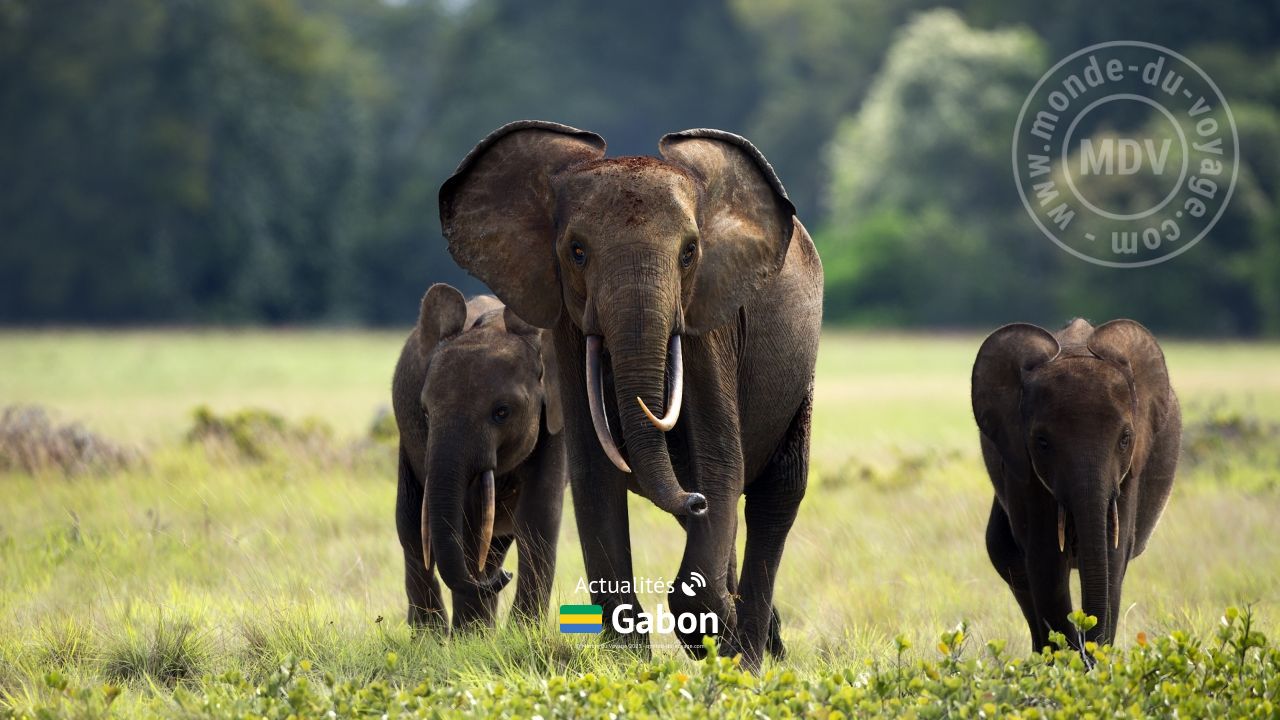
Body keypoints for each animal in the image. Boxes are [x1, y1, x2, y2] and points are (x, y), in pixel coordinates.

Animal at [389, 280, 565, 627]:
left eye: (502, 412)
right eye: (426, 413)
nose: (504, 577)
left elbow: (538, 514)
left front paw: (523, 631)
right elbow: (466, 519)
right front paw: (472, 634)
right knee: (411, 522)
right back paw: (429, 632)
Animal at [437, 119, 819, 666]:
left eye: (689, 253)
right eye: (577, 252)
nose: (695, 501)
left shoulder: (710, 322)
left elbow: (719, 458)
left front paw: (713, 637)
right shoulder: (566, 325)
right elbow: (595, 469)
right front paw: (628, 661)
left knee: (777, 494)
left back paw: (748, 655)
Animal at [972, 316, 1182, 648]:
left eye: (1125, 439)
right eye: (1042, 443)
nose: (1088, 646)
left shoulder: (1130, 473)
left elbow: (1112, 557)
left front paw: (1094, 656)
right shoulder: (1023, 469)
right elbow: (1046, 560)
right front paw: (1069, 656)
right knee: (1008, 559)